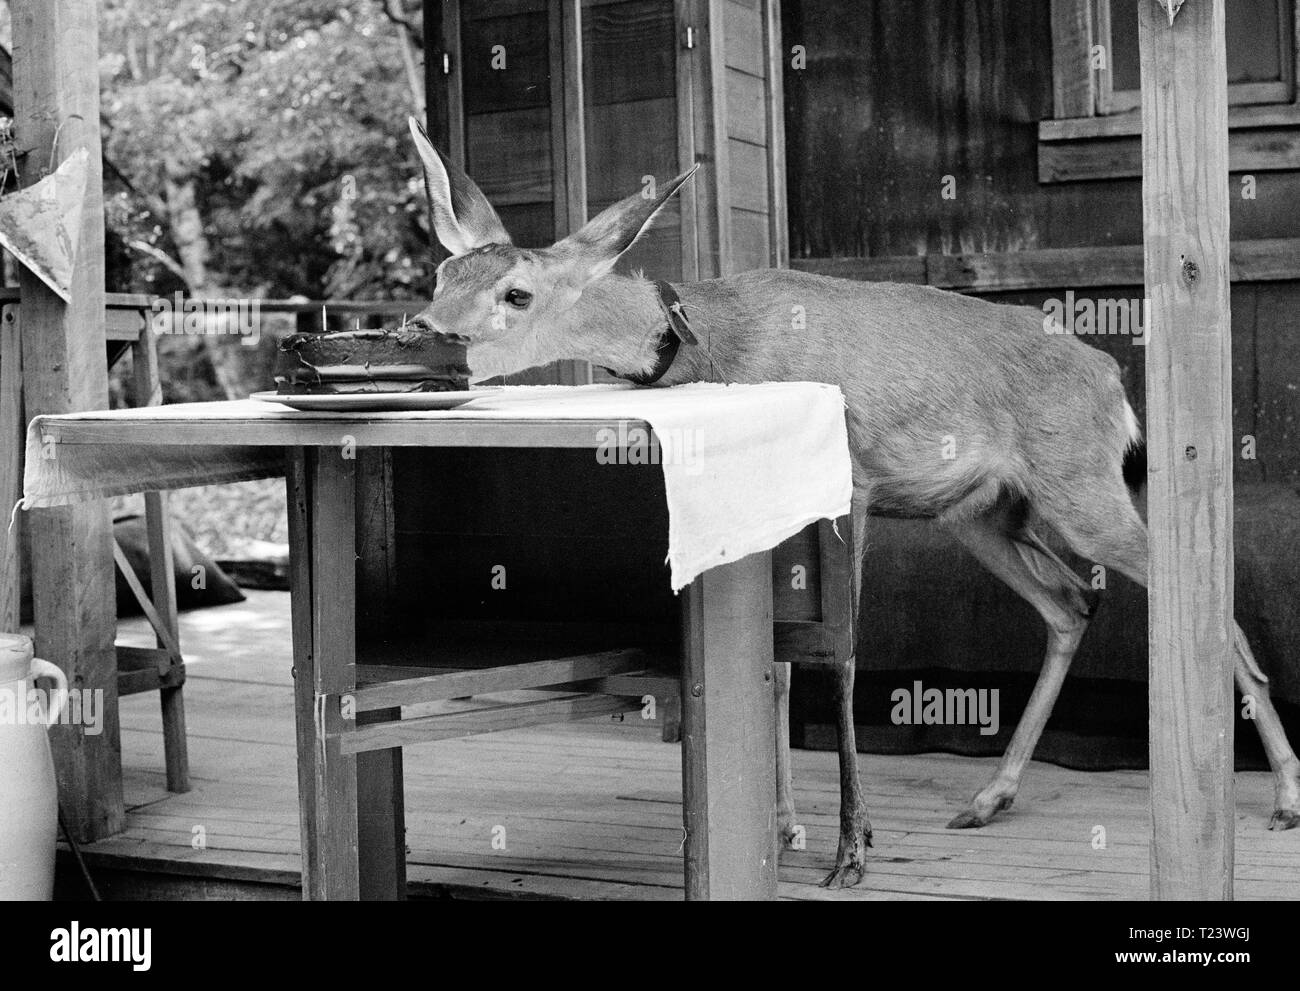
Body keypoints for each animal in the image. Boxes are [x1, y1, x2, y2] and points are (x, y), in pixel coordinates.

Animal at [406, 118, 1300, 888]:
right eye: (444, 272)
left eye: (517, 292)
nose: (421, 330)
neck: (710, 339)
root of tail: (1113, 381)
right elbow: (775, 666)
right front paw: (784, 823)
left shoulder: (851, 485)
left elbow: (838, 658)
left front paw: (850, 844)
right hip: (983, 511)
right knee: (1073, 604)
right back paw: (989, 796)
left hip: (1082, 488)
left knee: (1202, 601)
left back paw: (1284, 796)